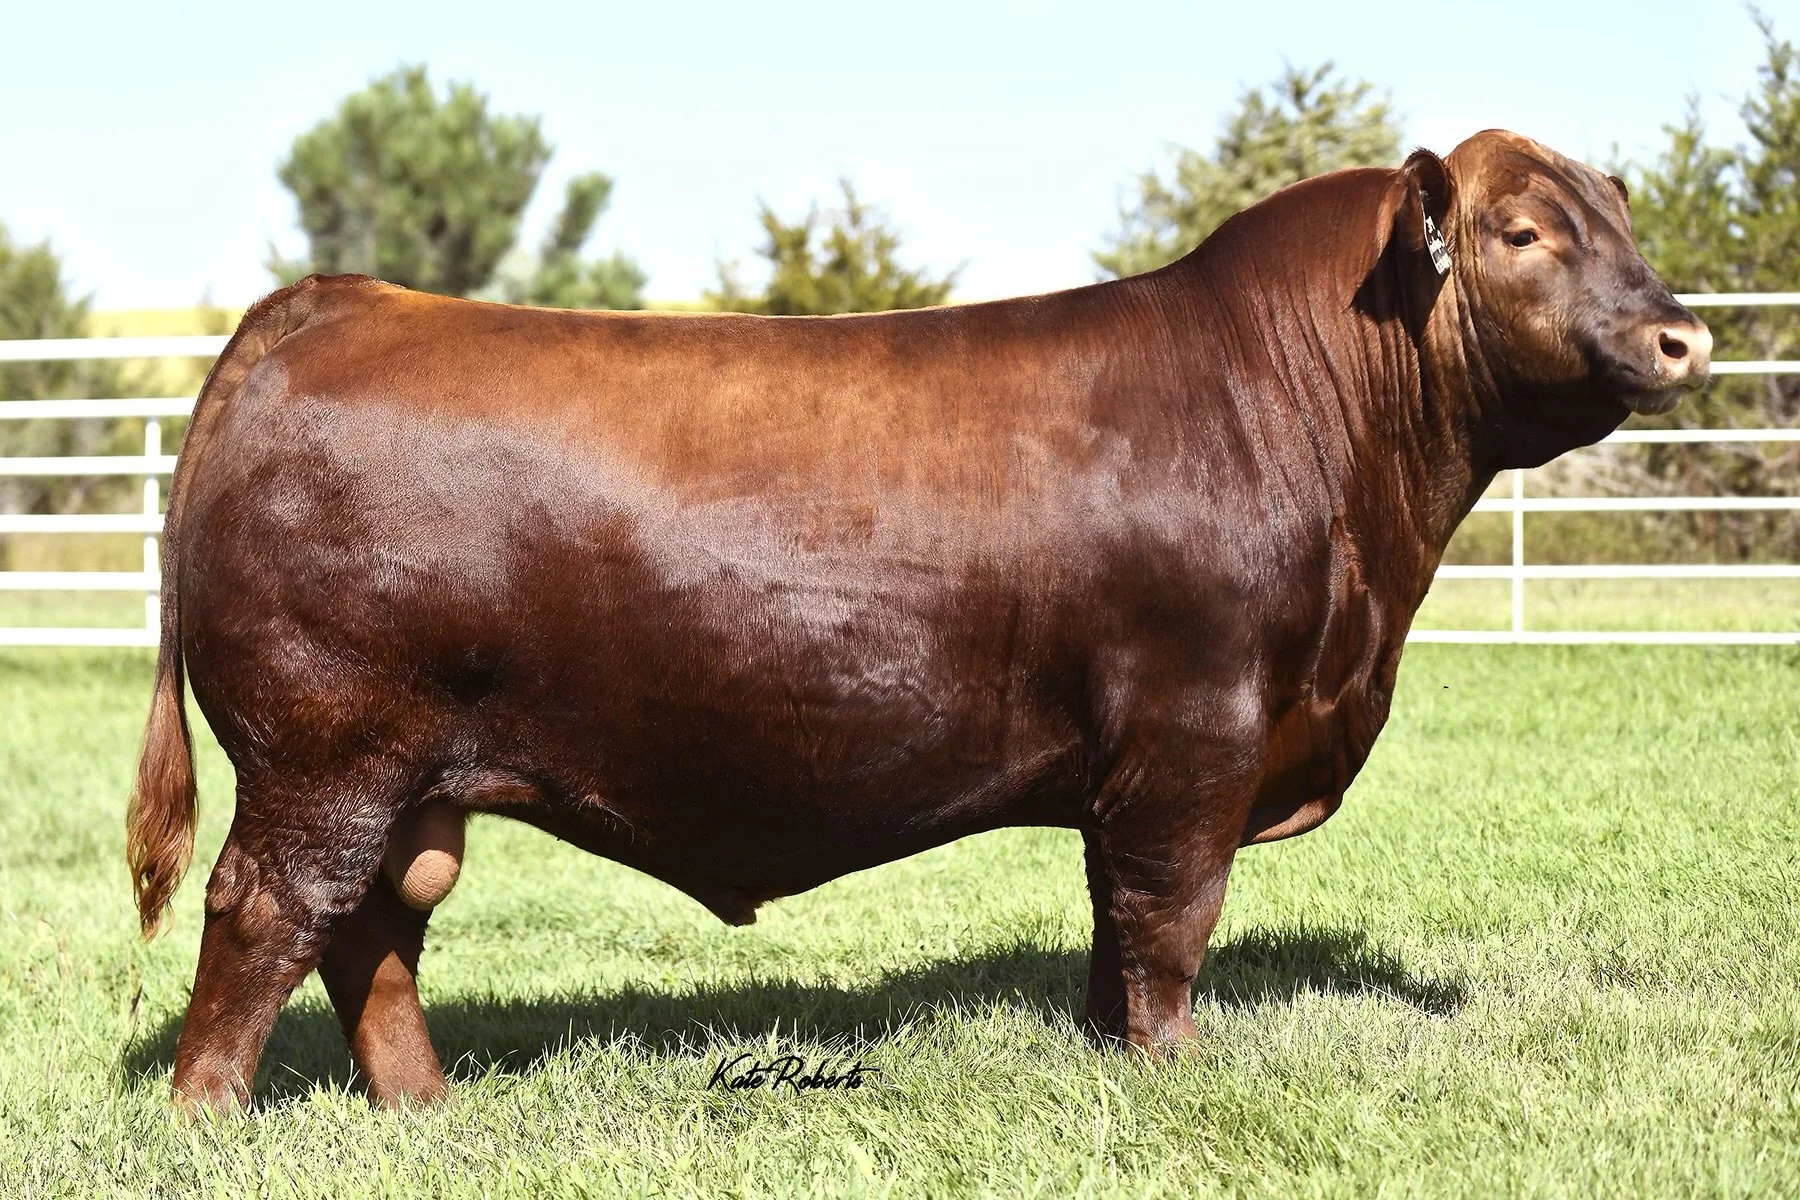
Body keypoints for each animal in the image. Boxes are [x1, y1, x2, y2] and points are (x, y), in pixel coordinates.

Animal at [127, 130, 1711, 1112]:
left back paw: (424, 1107)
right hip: (328, 751)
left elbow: (1112, 924)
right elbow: (1172, 919)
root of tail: (327, 306)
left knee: (373, 932)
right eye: (1521, 231)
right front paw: (1177, 1070)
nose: (1683, 334)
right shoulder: (1197, 736)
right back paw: (209, 1123)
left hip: (408, 779)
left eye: (1624, 222)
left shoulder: (1131, 771)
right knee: (266, 911)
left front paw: (1111, 1055)